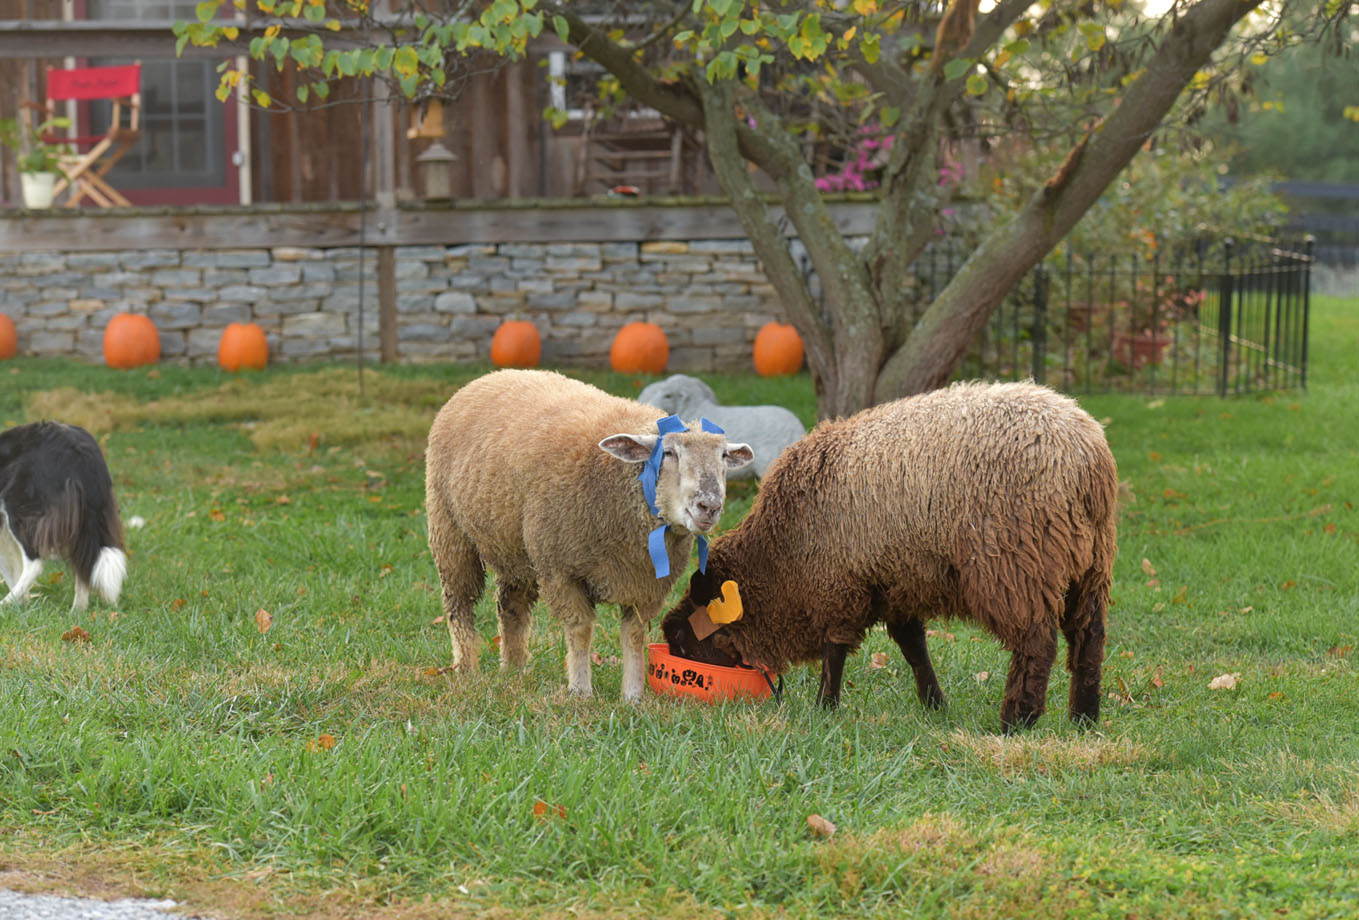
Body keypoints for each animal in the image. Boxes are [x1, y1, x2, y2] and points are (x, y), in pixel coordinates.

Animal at [425, 369, 753, 701]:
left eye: (723, 457)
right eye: (670, 453)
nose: (709, 505)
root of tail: (492, 375)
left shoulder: (647, 583)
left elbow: (633, 636)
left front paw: (632, 696)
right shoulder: (561, 571)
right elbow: (580, 630)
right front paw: (580, 691)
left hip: (514, 547)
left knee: (511, 604)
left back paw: (514, 668)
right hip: (449, 530)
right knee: (459, 604)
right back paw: (467, 667)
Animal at [661, 380, 1118, 732]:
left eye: (681, 640)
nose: (686, 694)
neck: (779, 555)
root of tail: (1087, 458)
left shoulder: (837, 581)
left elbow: (834, 648)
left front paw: (824, 707)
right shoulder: (895, 581)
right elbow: (913, 646)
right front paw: (935, 704)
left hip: (1017, 563)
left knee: (1036, 643)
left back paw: (1016, 722)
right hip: (1091, 565)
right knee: (1090, 637)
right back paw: (1084, 717)